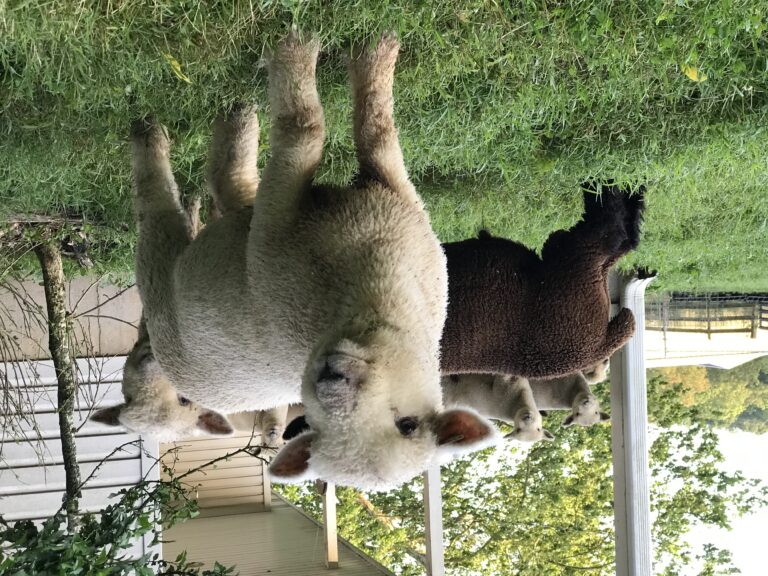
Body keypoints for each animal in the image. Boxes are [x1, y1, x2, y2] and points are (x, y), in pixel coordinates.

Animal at [92, 33, 496, 491]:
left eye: (407, 425)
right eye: (317, 425)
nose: (330, 378)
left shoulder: (306, 218)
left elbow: (338, 128)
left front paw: (334, 57)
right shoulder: (295, 224)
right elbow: (341, 127)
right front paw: (344, 57)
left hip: (174, 274)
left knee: (187, 199)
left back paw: (193, 129)